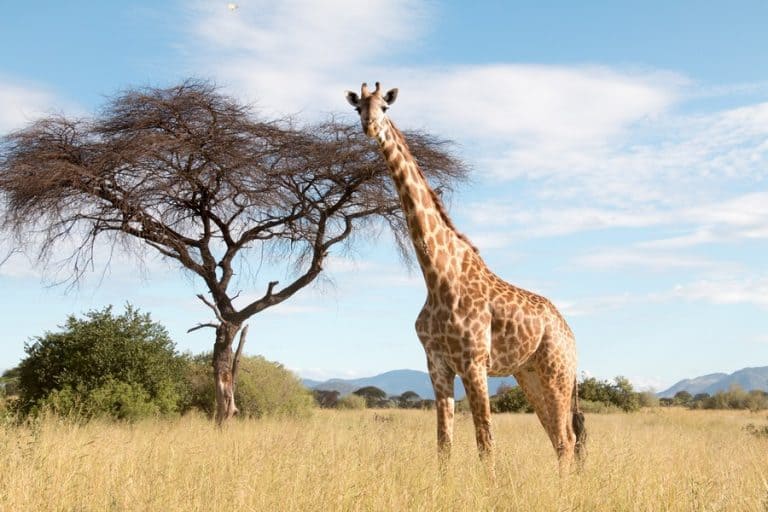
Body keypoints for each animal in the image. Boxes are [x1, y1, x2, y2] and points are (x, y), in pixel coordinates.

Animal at [346, 82, 586, 470]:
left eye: (384, 106)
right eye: (358, 108)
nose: (370, 126)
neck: (437, 277)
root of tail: (571, 334)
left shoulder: (474, 363)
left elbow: (485, 443)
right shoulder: (437, 365)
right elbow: (443, 444)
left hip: (558, 372)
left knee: (567, 438)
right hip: (529, 374)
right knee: (559, 438)